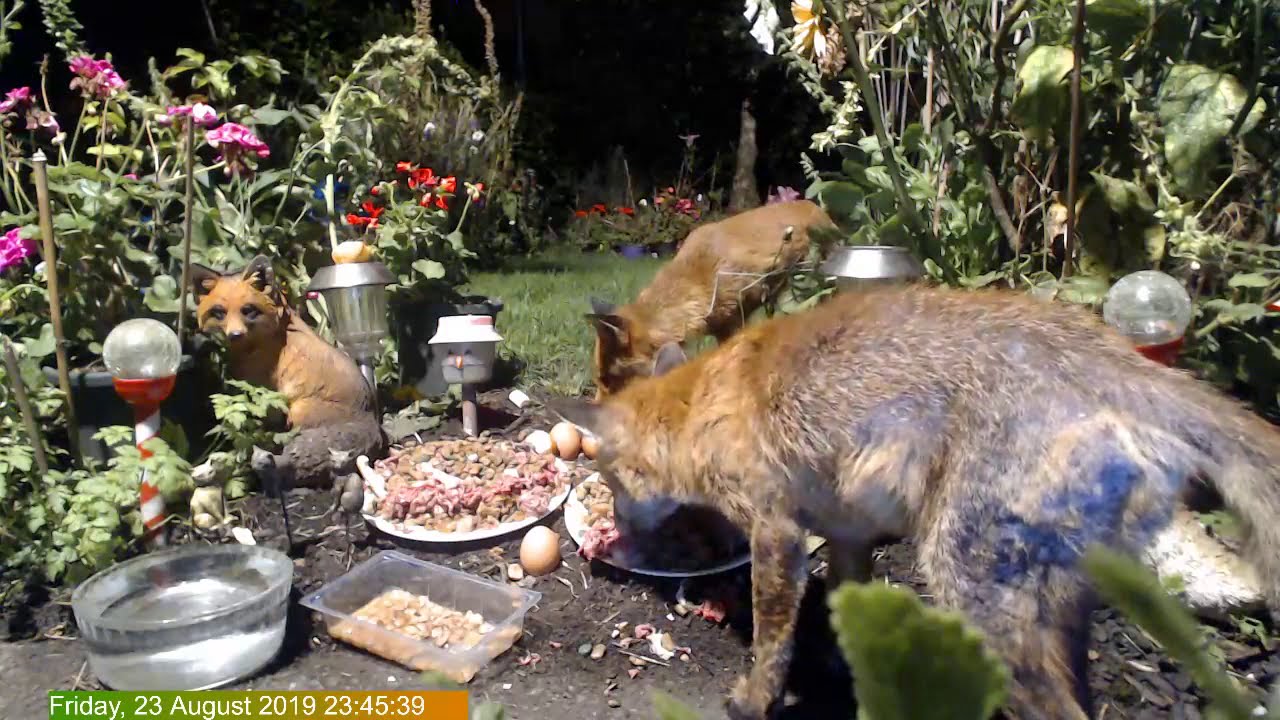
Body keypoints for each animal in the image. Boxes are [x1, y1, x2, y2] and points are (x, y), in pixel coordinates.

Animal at [191, 255, 386, 492]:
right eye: (219, 312)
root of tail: (371, 420)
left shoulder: (267, 396)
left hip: (298, 410)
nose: (235, 334)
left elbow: (264, 430)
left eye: (248, 310)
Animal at [550, 284, 1280, 720]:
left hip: (966, 580)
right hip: (1057, 599)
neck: (705, 403)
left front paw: (756, 699)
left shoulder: (777, 530)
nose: (612, 537)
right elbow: (843, 608)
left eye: (611, 482)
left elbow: (772, 641)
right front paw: (847, 668)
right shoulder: (846, 530)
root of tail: (1118, 357)